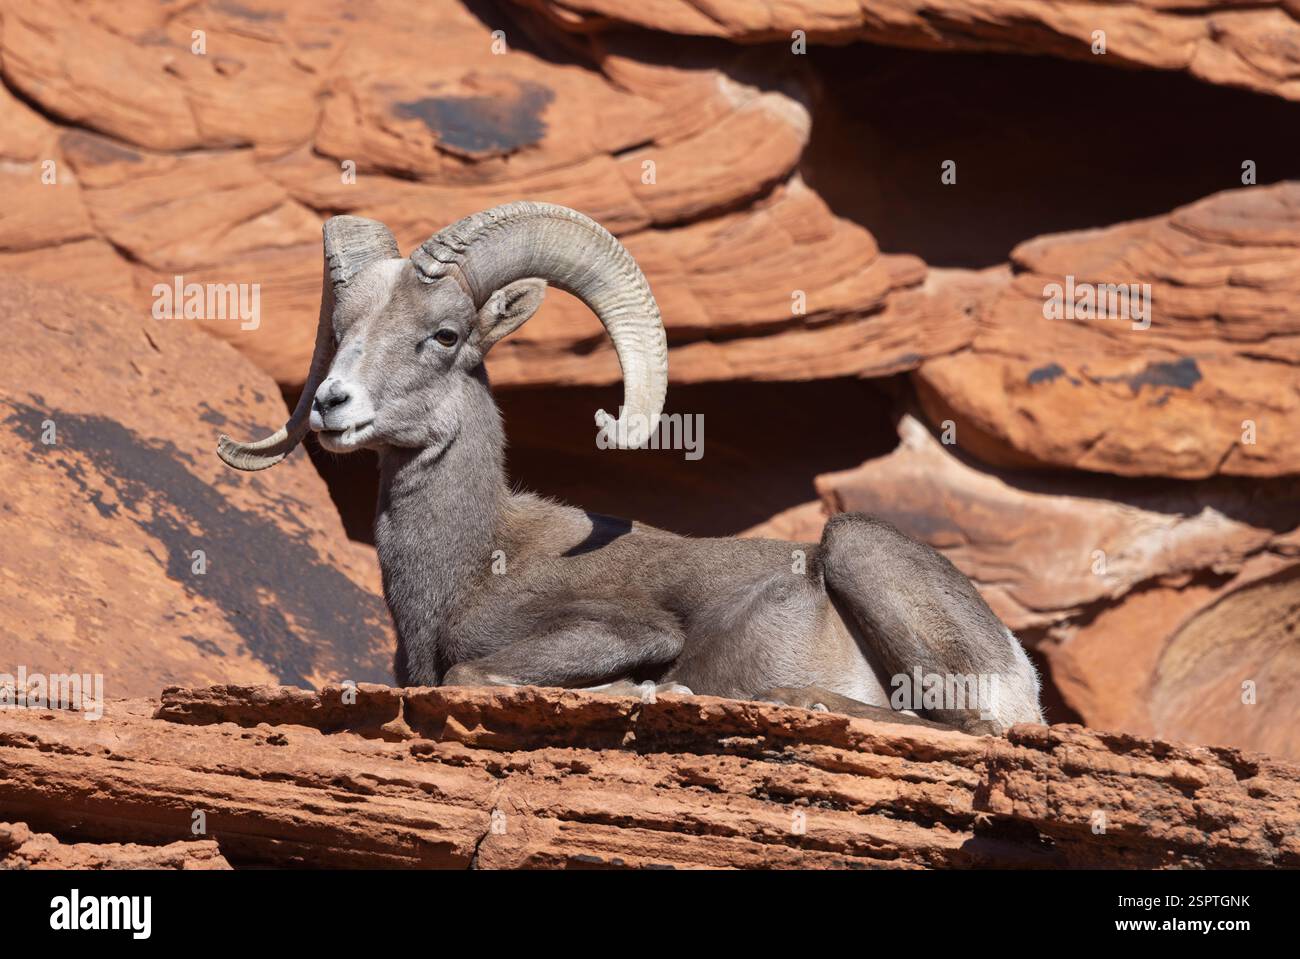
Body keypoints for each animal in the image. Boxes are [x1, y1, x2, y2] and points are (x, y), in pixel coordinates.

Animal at [217, 202, 1043, 733]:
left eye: (444, 334)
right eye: (343, 332)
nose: (332, 405)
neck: (470, 562)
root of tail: (1019, 667)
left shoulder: (625, 631)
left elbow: (467, 675)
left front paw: (637, 692)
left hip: (856, 546)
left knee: (973, 729)